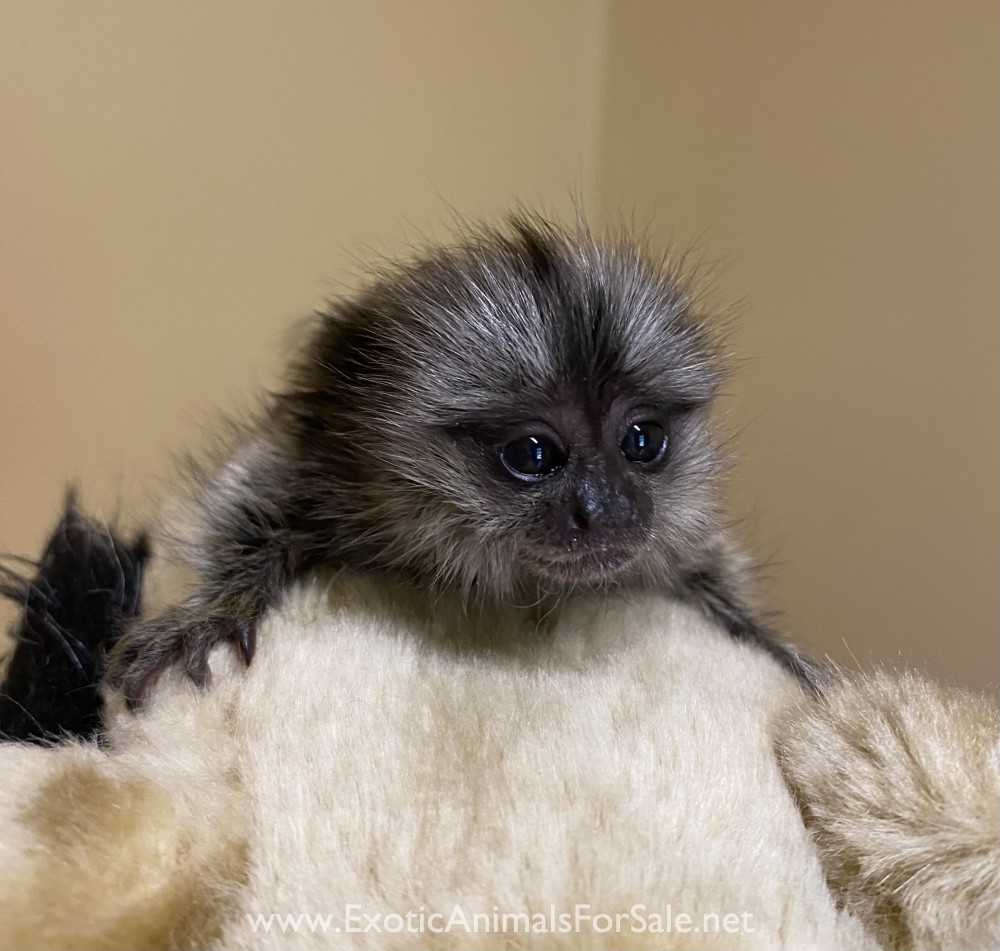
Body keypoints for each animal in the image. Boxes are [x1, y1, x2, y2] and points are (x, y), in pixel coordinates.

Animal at [105, 215, 824, 706]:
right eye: (533, 454)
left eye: (641, 442)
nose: (611, 509)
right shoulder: (310, 464)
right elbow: (242, 504)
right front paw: (212, 606)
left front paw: (768, 642)